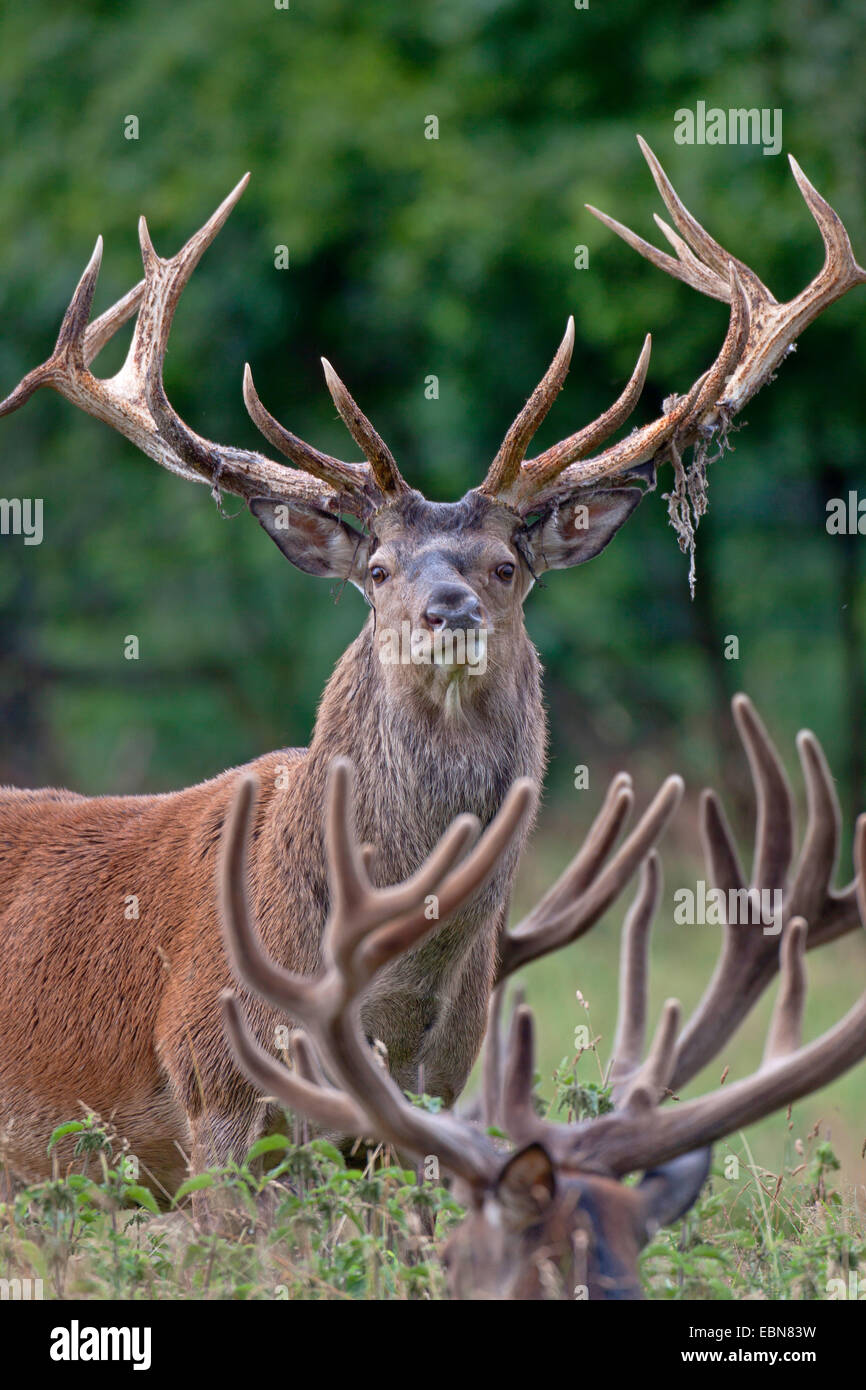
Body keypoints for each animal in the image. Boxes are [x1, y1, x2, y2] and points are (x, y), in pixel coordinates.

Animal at [0, 137, 863, 1192]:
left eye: (507, 565)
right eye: (375, 569)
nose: (447, 610)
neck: (389, 997)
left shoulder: (431, 1104)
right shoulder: (216, 1090)